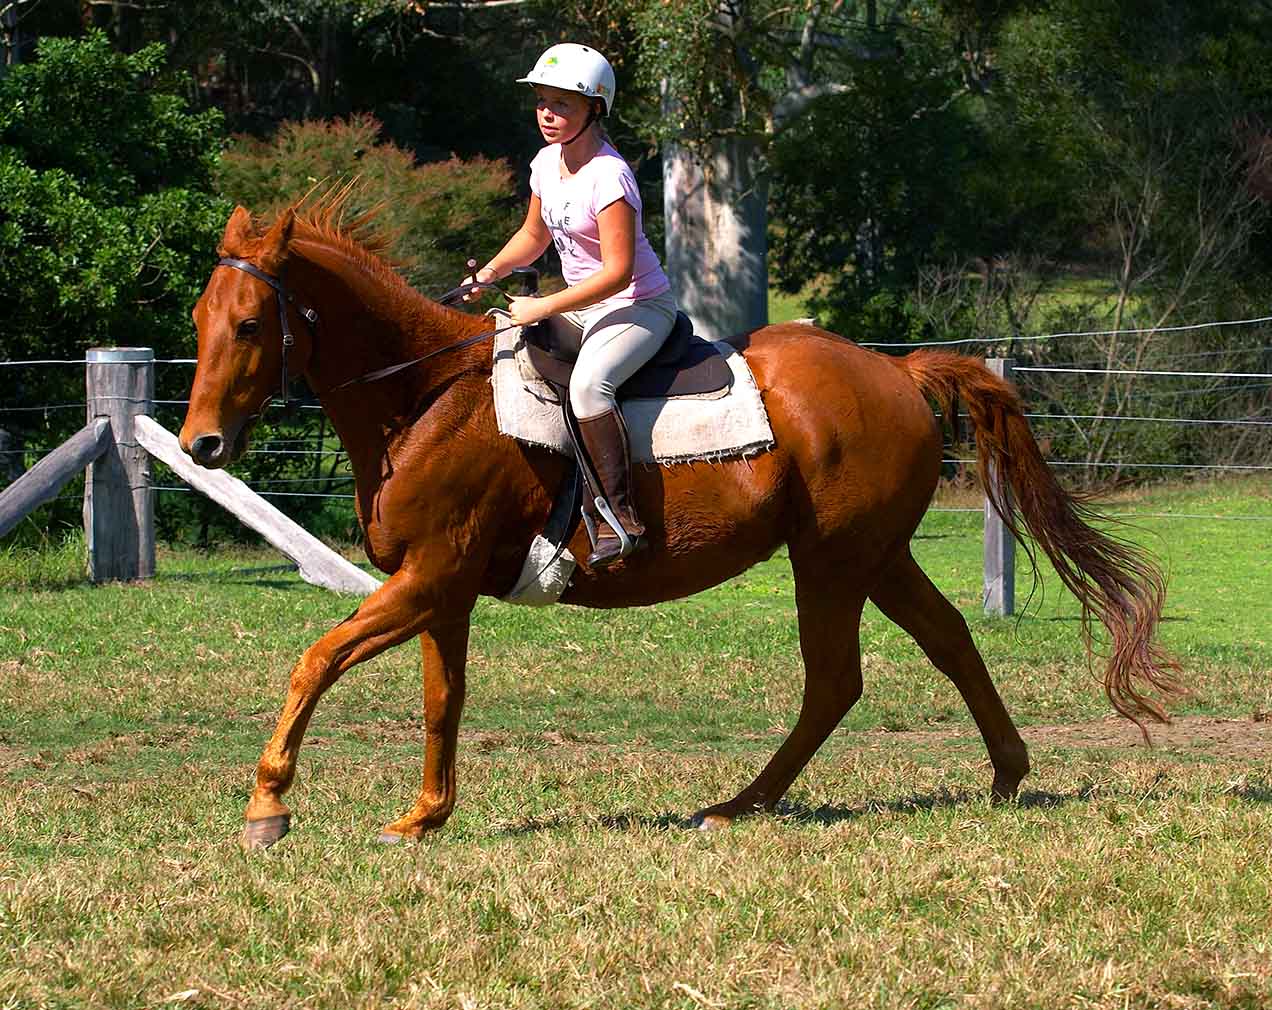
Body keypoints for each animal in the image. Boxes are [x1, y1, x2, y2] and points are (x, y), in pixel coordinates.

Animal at [179, 196, 1179, 849]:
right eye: (199, 319)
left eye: (249, 325)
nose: (201, 443)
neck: (426, 398)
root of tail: (895, 371)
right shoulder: (442, 589)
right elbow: (440, 702)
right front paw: (424, 815)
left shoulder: (429, 579)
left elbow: (317, 659)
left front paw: (268, 807)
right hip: (876, 555)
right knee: (945, 639)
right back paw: (1005, 772)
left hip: (832, 559)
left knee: (835, 679)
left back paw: (738, 806)